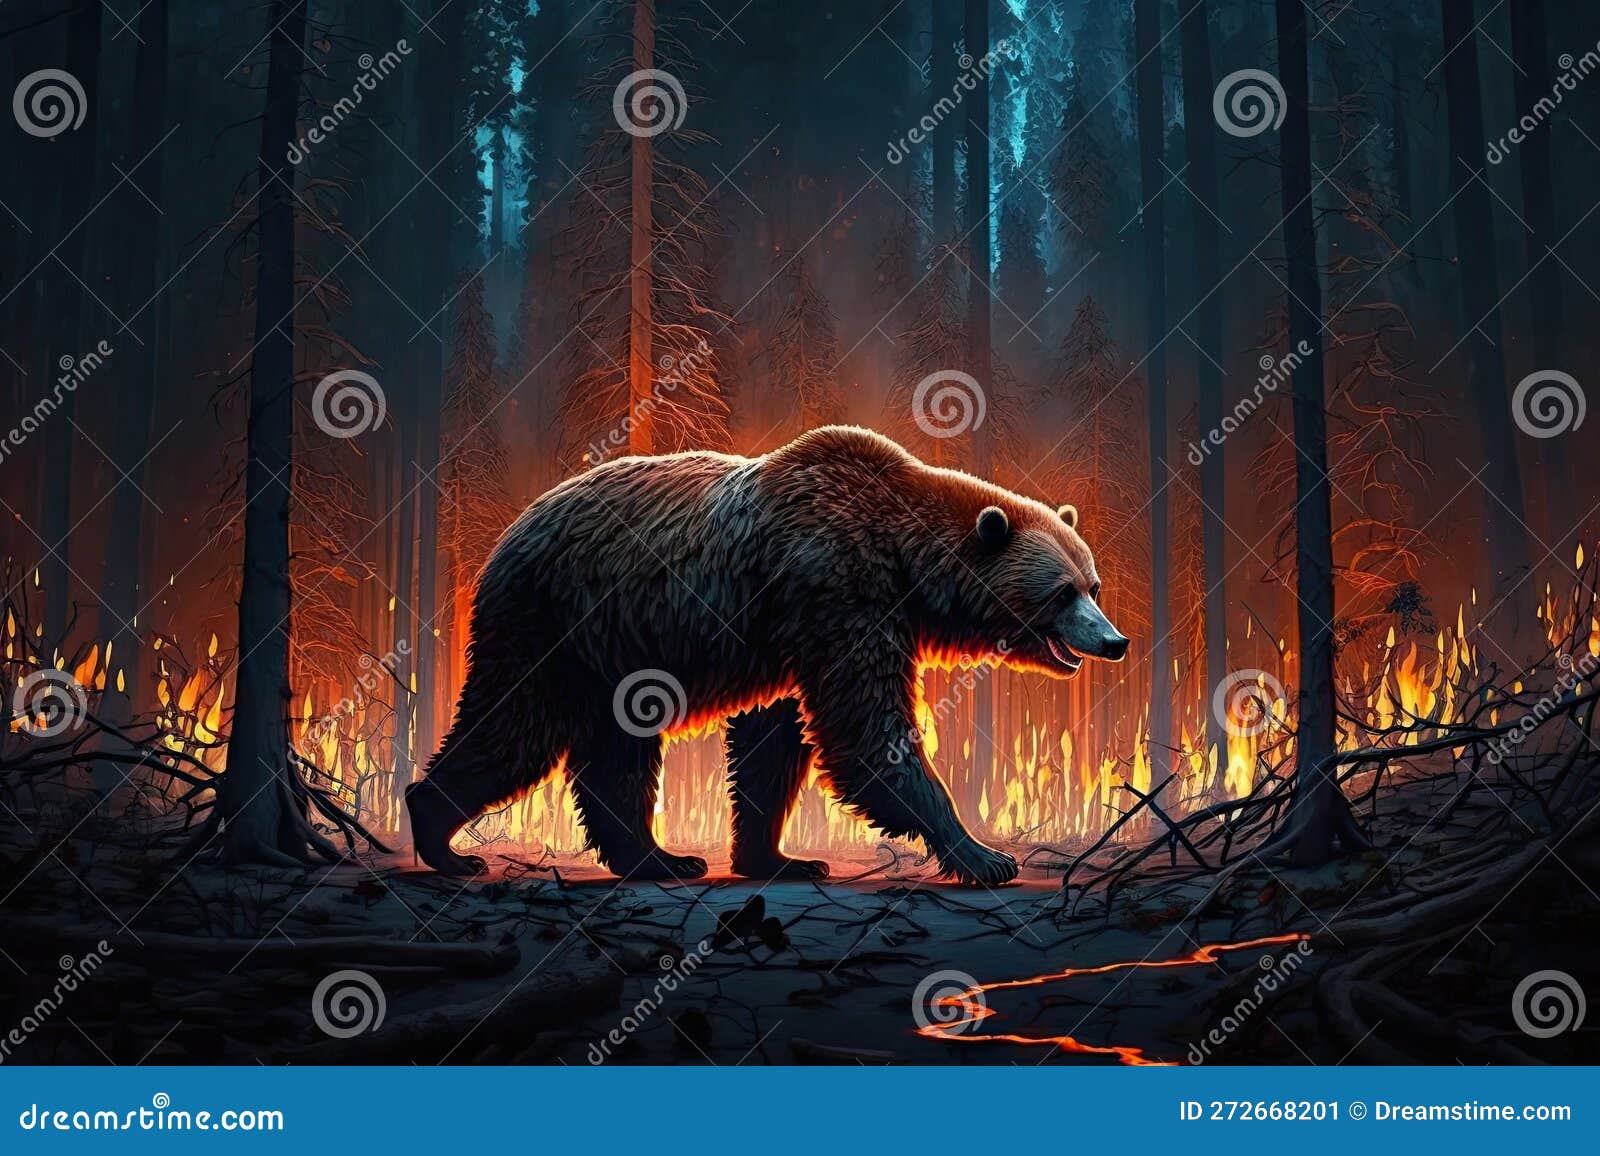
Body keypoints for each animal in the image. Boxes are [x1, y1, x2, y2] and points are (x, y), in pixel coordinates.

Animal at [405, 425, 1128, 885]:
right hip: (555, 621)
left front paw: (779, 856)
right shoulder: (835, 590)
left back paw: (658, 858)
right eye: (1063, 592)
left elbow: (773, 744)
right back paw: (443, 838)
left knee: (613, 755)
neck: (902, 560)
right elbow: (867, 732)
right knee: (513, 727)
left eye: (1092, 584)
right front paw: (982, 855)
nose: (1114, 640)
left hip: (612, 653)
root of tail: (507, 534)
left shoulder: (792, 632)